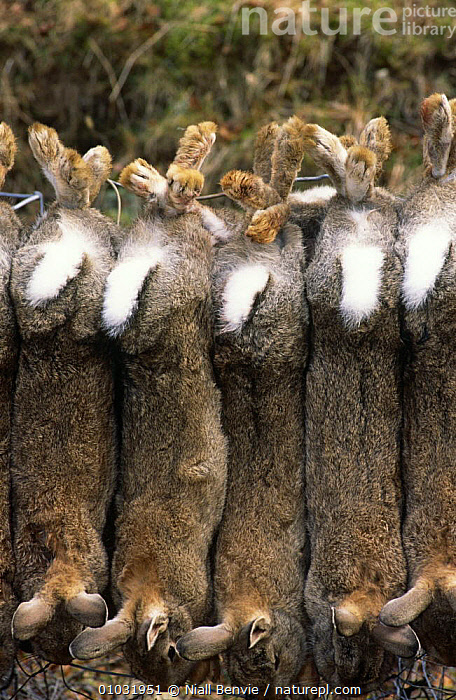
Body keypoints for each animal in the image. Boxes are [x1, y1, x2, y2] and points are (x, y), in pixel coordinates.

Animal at [69, 122, 228, 688]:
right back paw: (163, 173)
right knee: (182, 208)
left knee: (178, 208)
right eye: (171, 655)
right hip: (188, 262)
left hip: (174, 264)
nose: (185, 677)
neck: (150, 580)